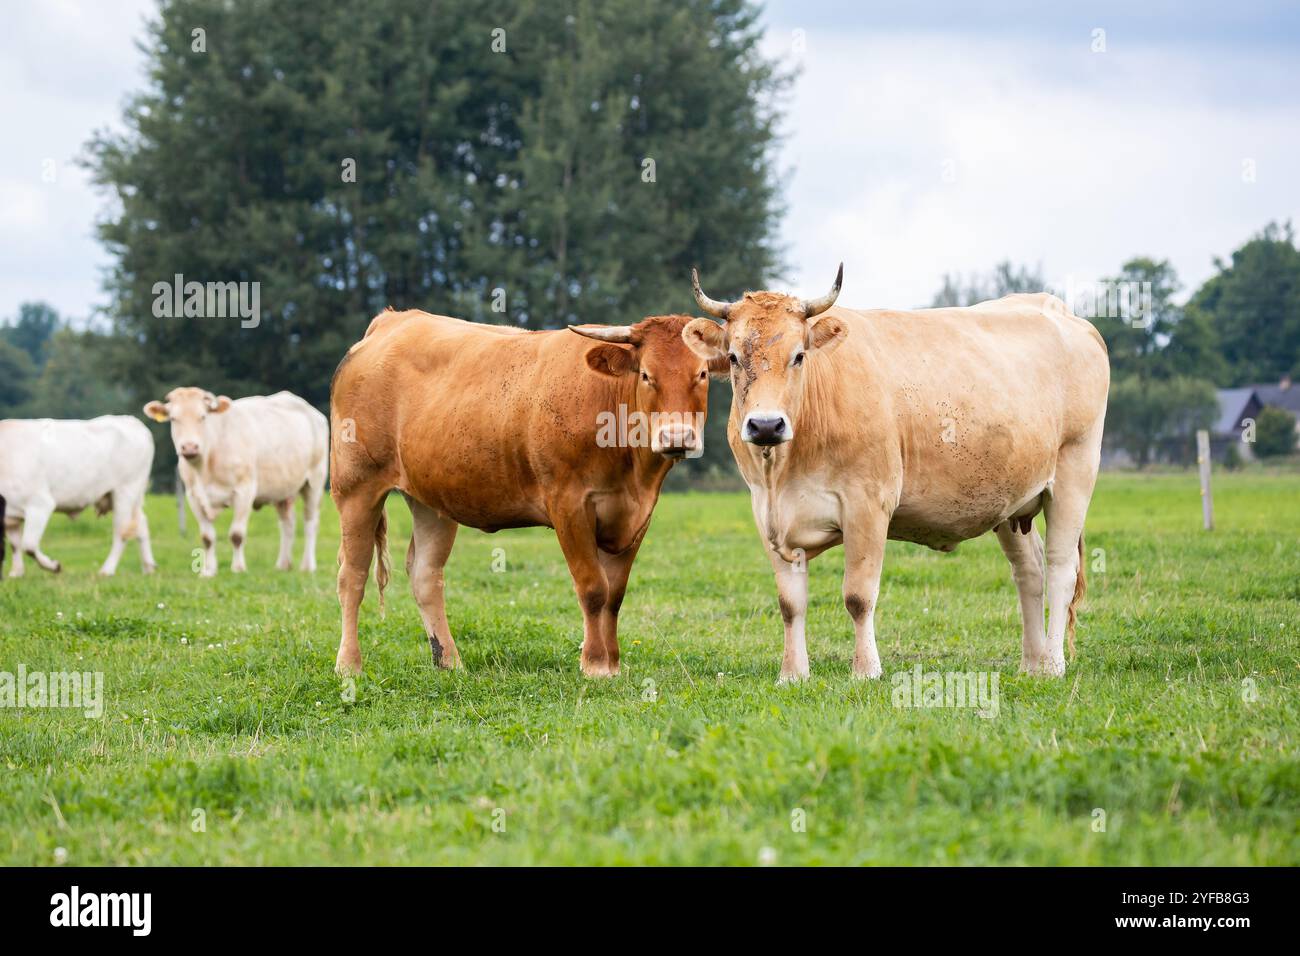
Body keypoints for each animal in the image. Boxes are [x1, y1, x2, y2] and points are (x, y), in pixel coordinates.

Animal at [0, 416, 157, 576]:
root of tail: (131, 421)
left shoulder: (39, 504)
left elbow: (29, 545)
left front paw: (54, 566)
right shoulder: (10, 517)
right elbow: (16, 545)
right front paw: (16, 573)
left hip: (126, 491)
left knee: (122, 531)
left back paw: (107, 570)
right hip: (128, 497)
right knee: (141, 523)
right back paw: (148, 568)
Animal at [143, 389, 328, 576]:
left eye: (203, 416)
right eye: (174, 418)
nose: (189, 447)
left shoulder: (244, 491)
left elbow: (236, 535)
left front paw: (238, 568)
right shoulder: (193, 496)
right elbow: (207, 537)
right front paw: (208, 571)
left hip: (314, 482)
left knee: (310, 523)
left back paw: (308, 566)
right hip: (283, 489)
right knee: (288, 524)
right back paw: (283, 565)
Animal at [329, 309, 714, 678]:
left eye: (703, 374)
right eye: (646, 375)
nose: (677, 437)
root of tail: (392, 320)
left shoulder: (636, 516)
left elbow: (614, 595)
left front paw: (614, 663)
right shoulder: (569, 504)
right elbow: (593, 588)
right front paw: (595, 664)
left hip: (431, 500)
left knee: (425, 574)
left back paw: (449, 662)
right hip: (356, 487)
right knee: (353, 576)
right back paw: (349, 665)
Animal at [683, 266, 1110, 681]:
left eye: (799, 355)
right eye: (733, 357)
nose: (766, 425)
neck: (784, 468)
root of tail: (1060, 310)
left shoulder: (867, 505)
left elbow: (858, 596)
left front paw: (866, 671)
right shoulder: (768, 514)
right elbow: (790, 603)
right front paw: (792, 675)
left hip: (1074, 473)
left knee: (1060, 569)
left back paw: (1053, 664)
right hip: (1011, 502)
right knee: (1029, 571)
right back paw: (1031, 665)